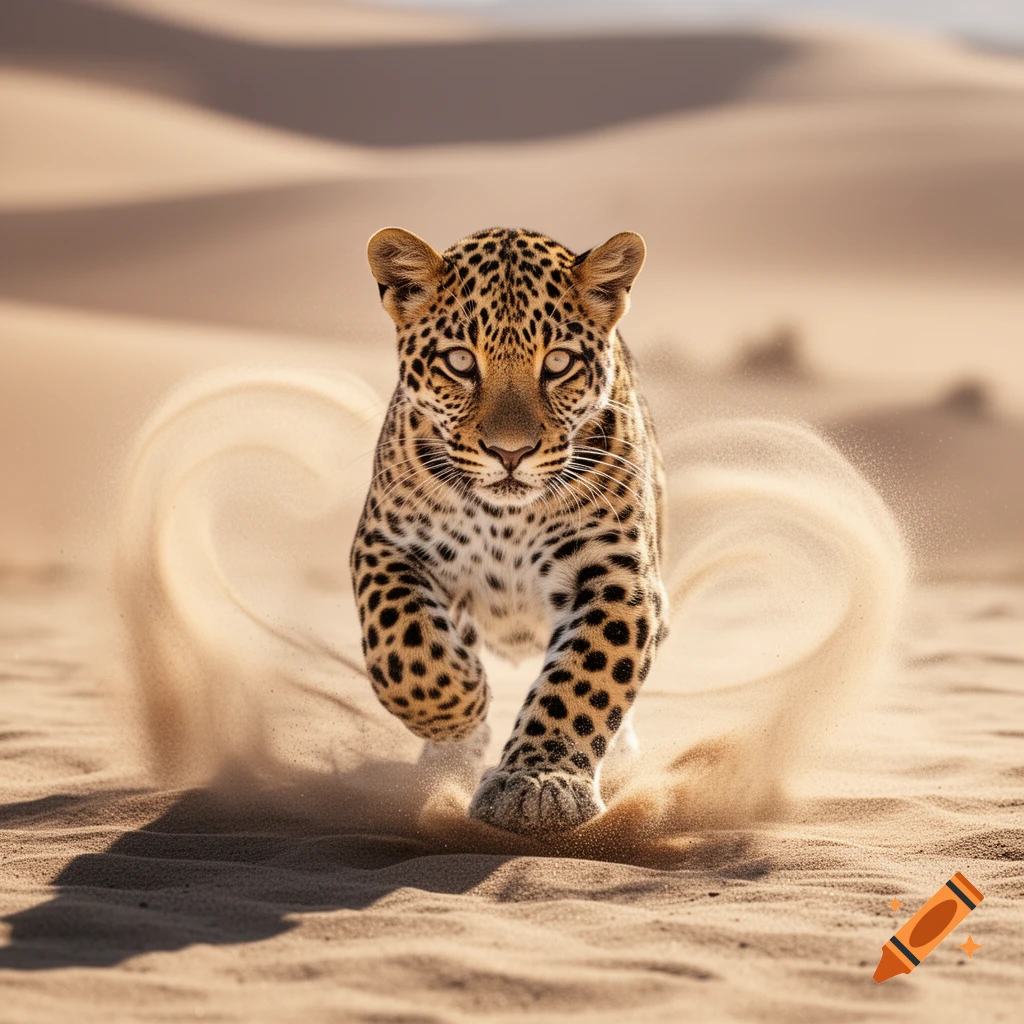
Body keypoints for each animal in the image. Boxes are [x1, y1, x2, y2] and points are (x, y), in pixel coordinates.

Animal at [350, 225, 668, 835]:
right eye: (459, 361)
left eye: (559, 362)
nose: (510, 453)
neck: (506, 519)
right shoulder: (385, 544)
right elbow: (402, 645)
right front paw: (460, 713)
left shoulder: (617, 573)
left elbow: (584, 679)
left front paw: (539, 784)